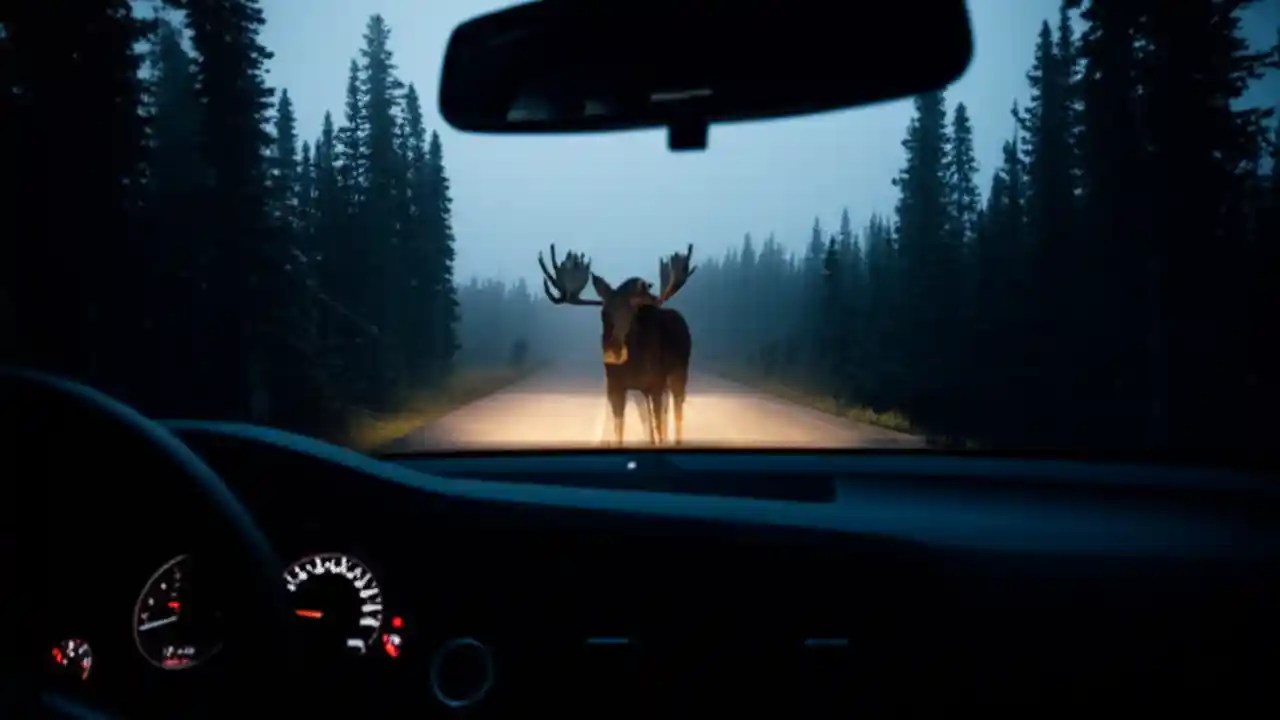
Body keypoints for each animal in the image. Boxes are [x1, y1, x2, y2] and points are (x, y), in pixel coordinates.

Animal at [538, 244, 695, 446]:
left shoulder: (656, 384)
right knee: (650, 417)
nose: (613, 351)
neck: (633, 364)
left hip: (678, 375)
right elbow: (620, 431)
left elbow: (660, 425)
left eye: (632, 313)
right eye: (603, 313)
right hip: (644, 391)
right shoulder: (614, 386)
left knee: (676, 411)